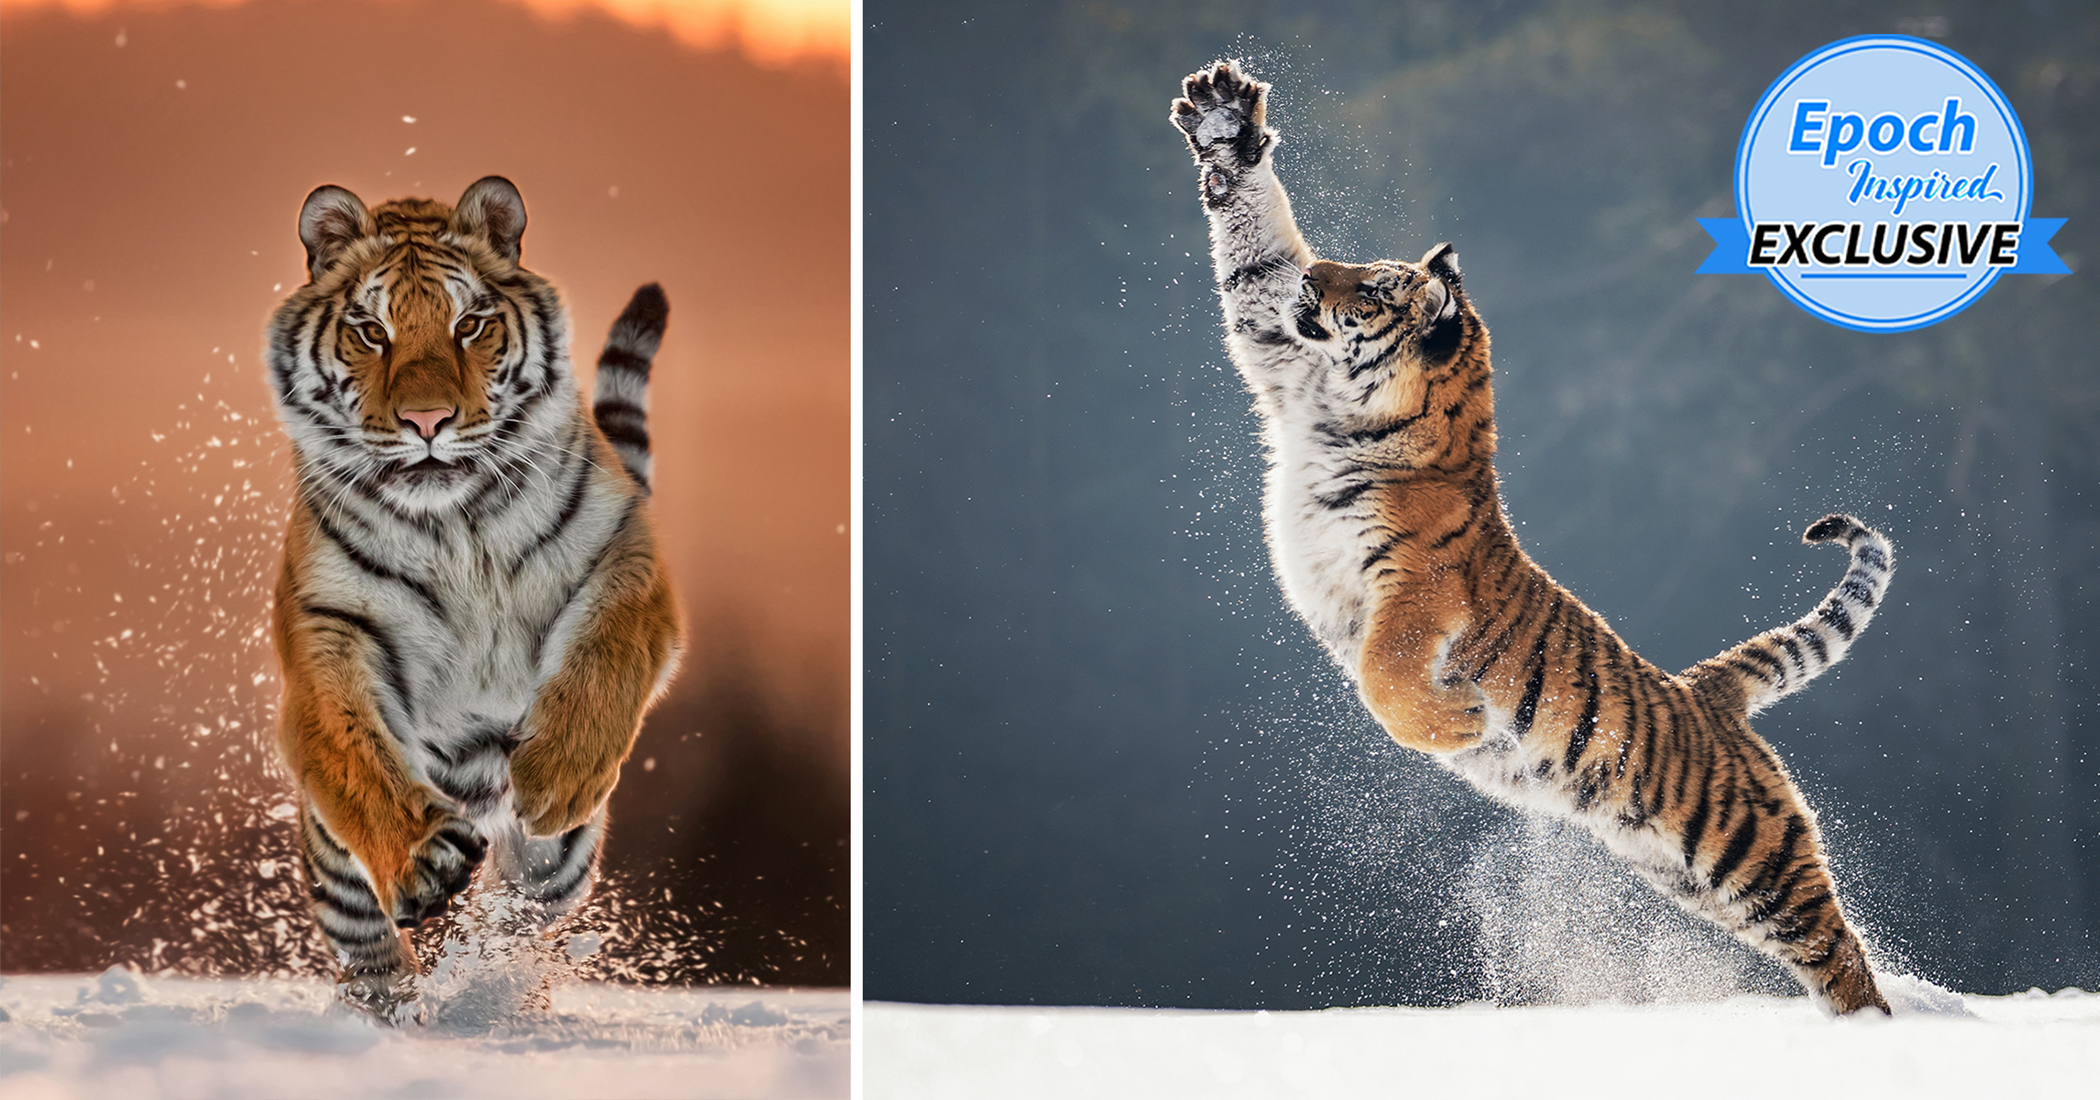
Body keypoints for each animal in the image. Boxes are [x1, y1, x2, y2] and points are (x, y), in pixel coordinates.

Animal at [264, 176, 683, 1012]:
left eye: (470, 324)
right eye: (371, 330)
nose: (427, 420)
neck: (455, 525)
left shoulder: (628, 557)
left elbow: (606, 658)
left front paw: (552, 778)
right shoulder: (329, 627)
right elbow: (357, 751)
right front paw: (426, 857)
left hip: (557, 874)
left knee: (515, 926)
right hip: (335, 873)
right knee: (371, 950)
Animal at [1172, 61, 1892, 1015]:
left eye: (1374, 288)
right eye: (1348, 271)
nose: (1318, 275)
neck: (1344, 412)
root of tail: (1708, 694)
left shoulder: (1416, 587)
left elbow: (1385, 677)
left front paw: (1461, 721)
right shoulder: (1280, 356)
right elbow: (1254, 262)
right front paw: (1224, 124)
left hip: (1749, 853)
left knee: (1839, 948)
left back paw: (1874, 1029)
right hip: (1685, 872)